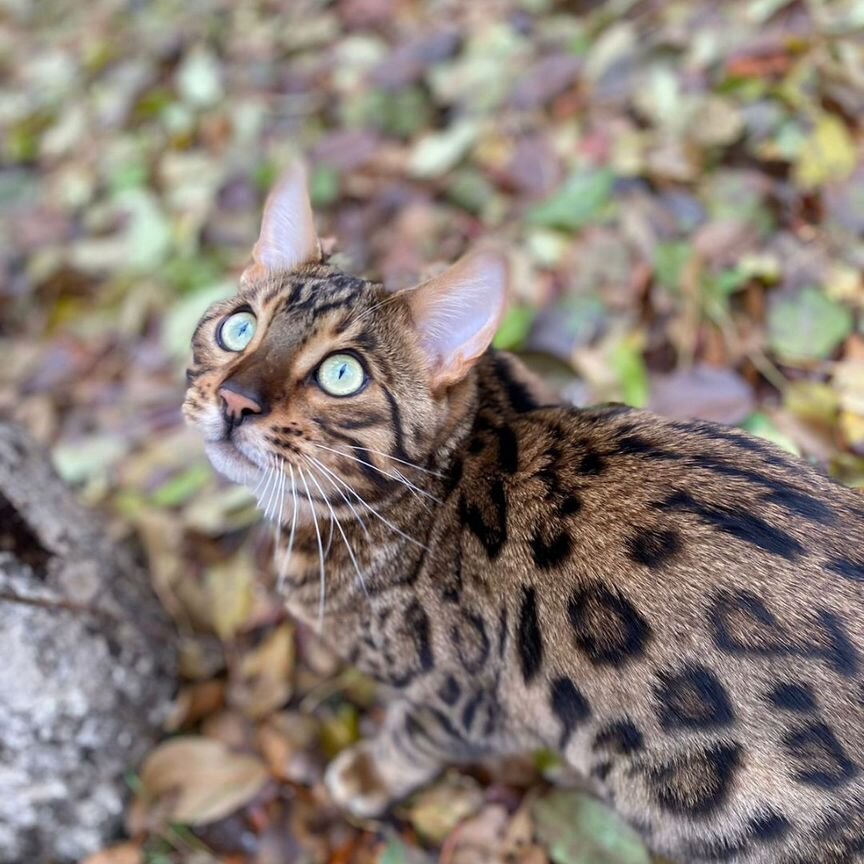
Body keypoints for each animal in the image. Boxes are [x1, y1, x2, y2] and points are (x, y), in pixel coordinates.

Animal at [186, 164, 864, 864]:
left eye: (341, 374)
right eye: (237, 329)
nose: (236, 399)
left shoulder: (468, 703)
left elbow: (413, 739)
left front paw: (369, 776)